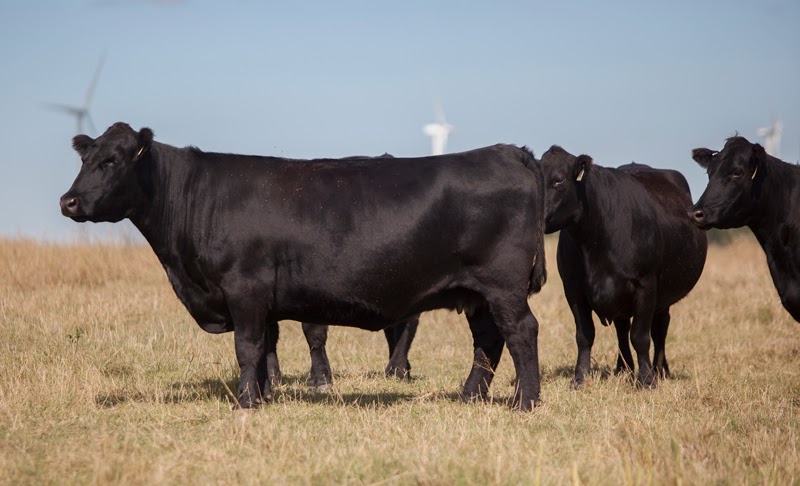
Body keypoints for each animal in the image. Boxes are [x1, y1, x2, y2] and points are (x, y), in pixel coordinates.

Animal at [60, 122, 547, 410]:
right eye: (85, 159)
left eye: (112, 160)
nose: (69, 201)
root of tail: (507, 150)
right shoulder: (258, 301)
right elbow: (262, 350)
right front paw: (261, 396)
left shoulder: (245, 288)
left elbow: (247, 347)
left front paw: (245, 404)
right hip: (477, 294)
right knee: (488, 340)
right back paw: (470, 397)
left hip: (502, 285)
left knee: (521, 331)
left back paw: (524, 402)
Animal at [540, 146, 707, 388]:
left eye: (558, 180)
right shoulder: (573, 289)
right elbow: (584, 334)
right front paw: (580, 378)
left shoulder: (646, 284)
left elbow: (640, 336)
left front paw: (646, 380)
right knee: (622, 329)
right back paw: (623, 369)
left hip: (662, 296)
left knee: (659, 328)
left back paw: (660, 370)